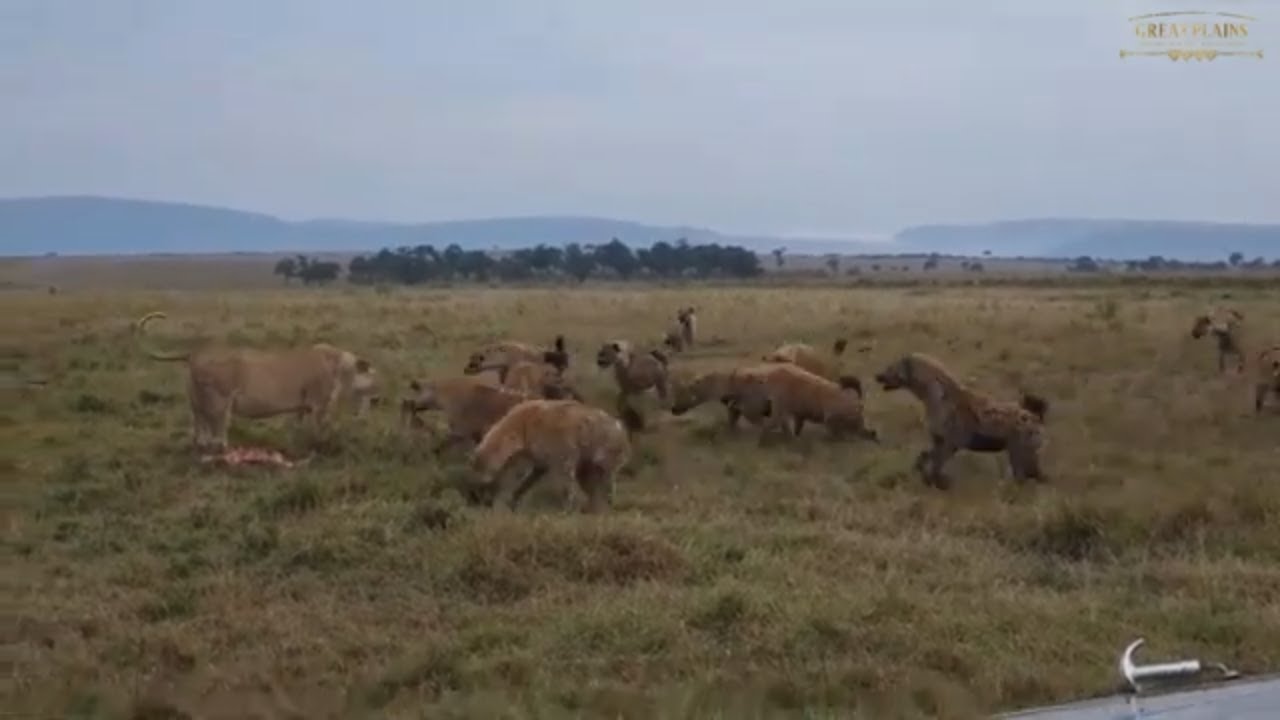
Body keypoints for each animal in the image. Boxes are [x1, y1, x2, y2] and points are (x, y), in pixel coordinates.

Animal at [134, 311, 379, 453]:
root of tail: (194, 353)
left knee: (199, 426)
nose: (377, 399)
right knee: (217, 427)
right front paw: (323, 445)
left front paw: (297, 441)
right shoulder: (319, 403)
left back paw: (202, 446)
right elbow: (321, 426)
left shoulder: (302, 405)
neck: (342, 367)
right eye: (375, 378)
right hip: (219, 402)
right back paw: (222, 449)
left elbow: (298, 424)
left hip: (196, 402)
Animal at [468, 399, 631, 514]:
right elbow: (532, 476)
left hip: (604, 446)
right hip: (592, 454)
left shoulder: (558, 446)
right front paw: (514, 499)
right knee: (590, 479)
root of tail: (620, 427)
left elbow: (565, 478)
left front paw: (566, 509)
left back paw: (603, 503)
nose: (477, 498)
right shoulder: (537, 454)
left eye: (478, 469)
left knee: (603, 477)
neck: (521, 429)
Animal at [873, 352, 1048, 489]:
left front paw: (937, 482)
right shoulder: (939, 438)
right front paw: (922, 474)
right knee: (1036, 473)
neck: (932, 398)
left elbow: (937, 463)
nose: (877, 376)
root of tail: (1035, 417)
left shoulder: (953, 441)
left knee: (1025, 473)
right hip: (1026, 451)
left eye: (890, 368)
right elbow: (925, 456)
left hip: (1019, 449)